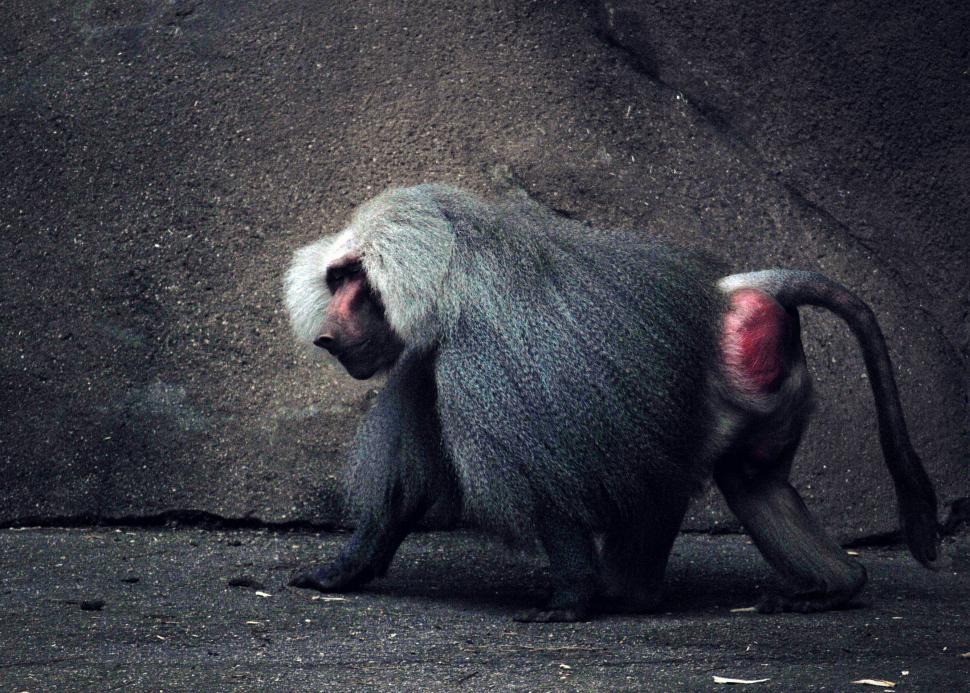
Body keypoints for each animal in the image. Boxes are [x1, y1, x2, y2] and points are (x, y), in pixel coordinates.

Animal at [283, 183, 939, 622]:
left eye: (353, 281)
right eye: (335, 280)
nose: (326, 336)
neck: (457, 281)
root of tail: (736, 292)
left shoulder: (486, 364)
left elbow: (545, 480)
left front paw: (570, 601)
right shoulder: (428, 367)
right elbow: (404, 492)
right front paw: (343, 571)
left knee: (664, 481)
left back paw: (629, 594)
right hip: (774, 394)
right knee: (754, 483)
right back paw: (835, 586)